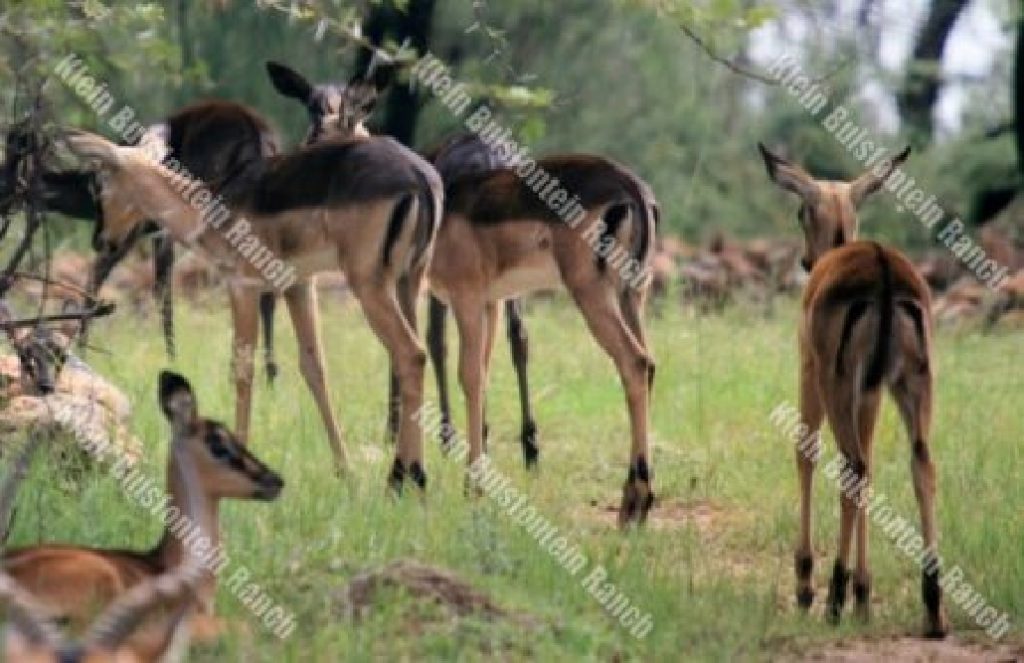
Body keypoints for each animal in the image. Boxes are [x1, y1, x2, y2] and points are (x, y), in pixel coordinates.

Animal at [64, 120, 443, 488]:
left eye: (100, 184)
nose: (101, 239)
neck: (206, 209)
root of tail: (419, 176)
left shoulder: (242, 286)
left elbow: (242, 369)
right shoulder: (299, 285)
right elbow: (315, 368)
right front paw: (344, 471)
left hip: (370, 285)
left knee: (411, 354)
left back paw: (405, 478)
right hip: (409, 281)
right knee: (413, 358)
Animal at [758, 143, 948, 637]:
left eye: (800, 210)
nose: (806, 261)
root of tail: (882, 270)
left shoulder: (810, 372)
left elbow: (805, 451)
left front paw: (808, 585)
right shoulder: (873, 392)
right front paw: (865, 592)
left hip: (837, 384)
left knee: (852, 467)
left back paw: (833, 598)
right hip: (912, 385)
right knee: (919, 465)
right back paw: (933, 609)